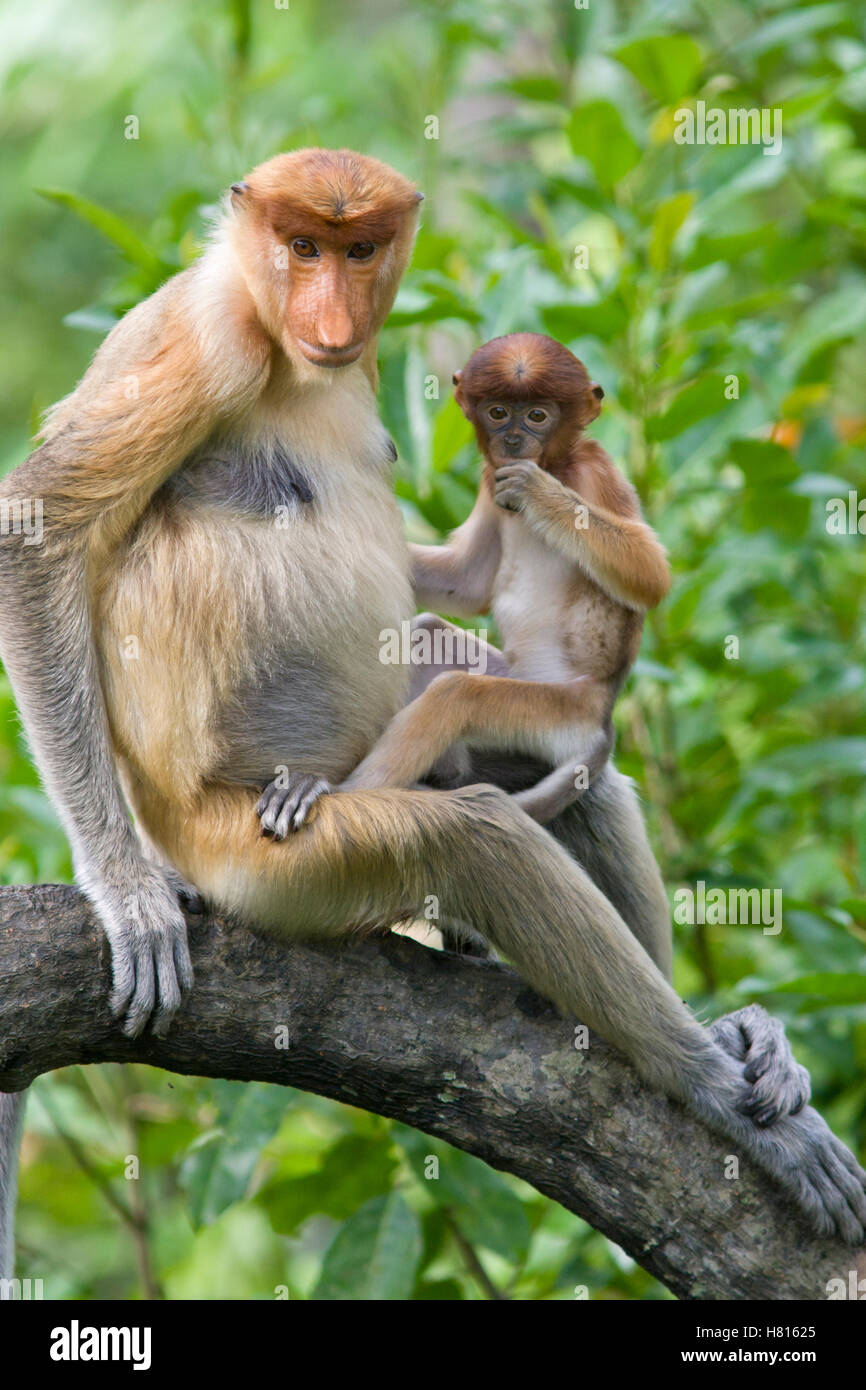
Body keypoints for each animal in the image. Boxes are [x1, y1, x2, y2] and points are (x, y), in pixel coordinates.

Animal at [337, 334, 669, 827]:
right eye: (497, 412)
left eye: (537, 415)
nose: (513, 441)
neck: (557, 464)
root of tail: (604, 721)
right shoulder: (488, 477)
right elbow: (468, 583)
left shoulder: (593, 466)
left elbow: (650, 577)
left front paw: (536, 492)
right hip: (516, 681)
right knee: (425, 634)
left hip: (555, 713)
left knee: (457, 694)